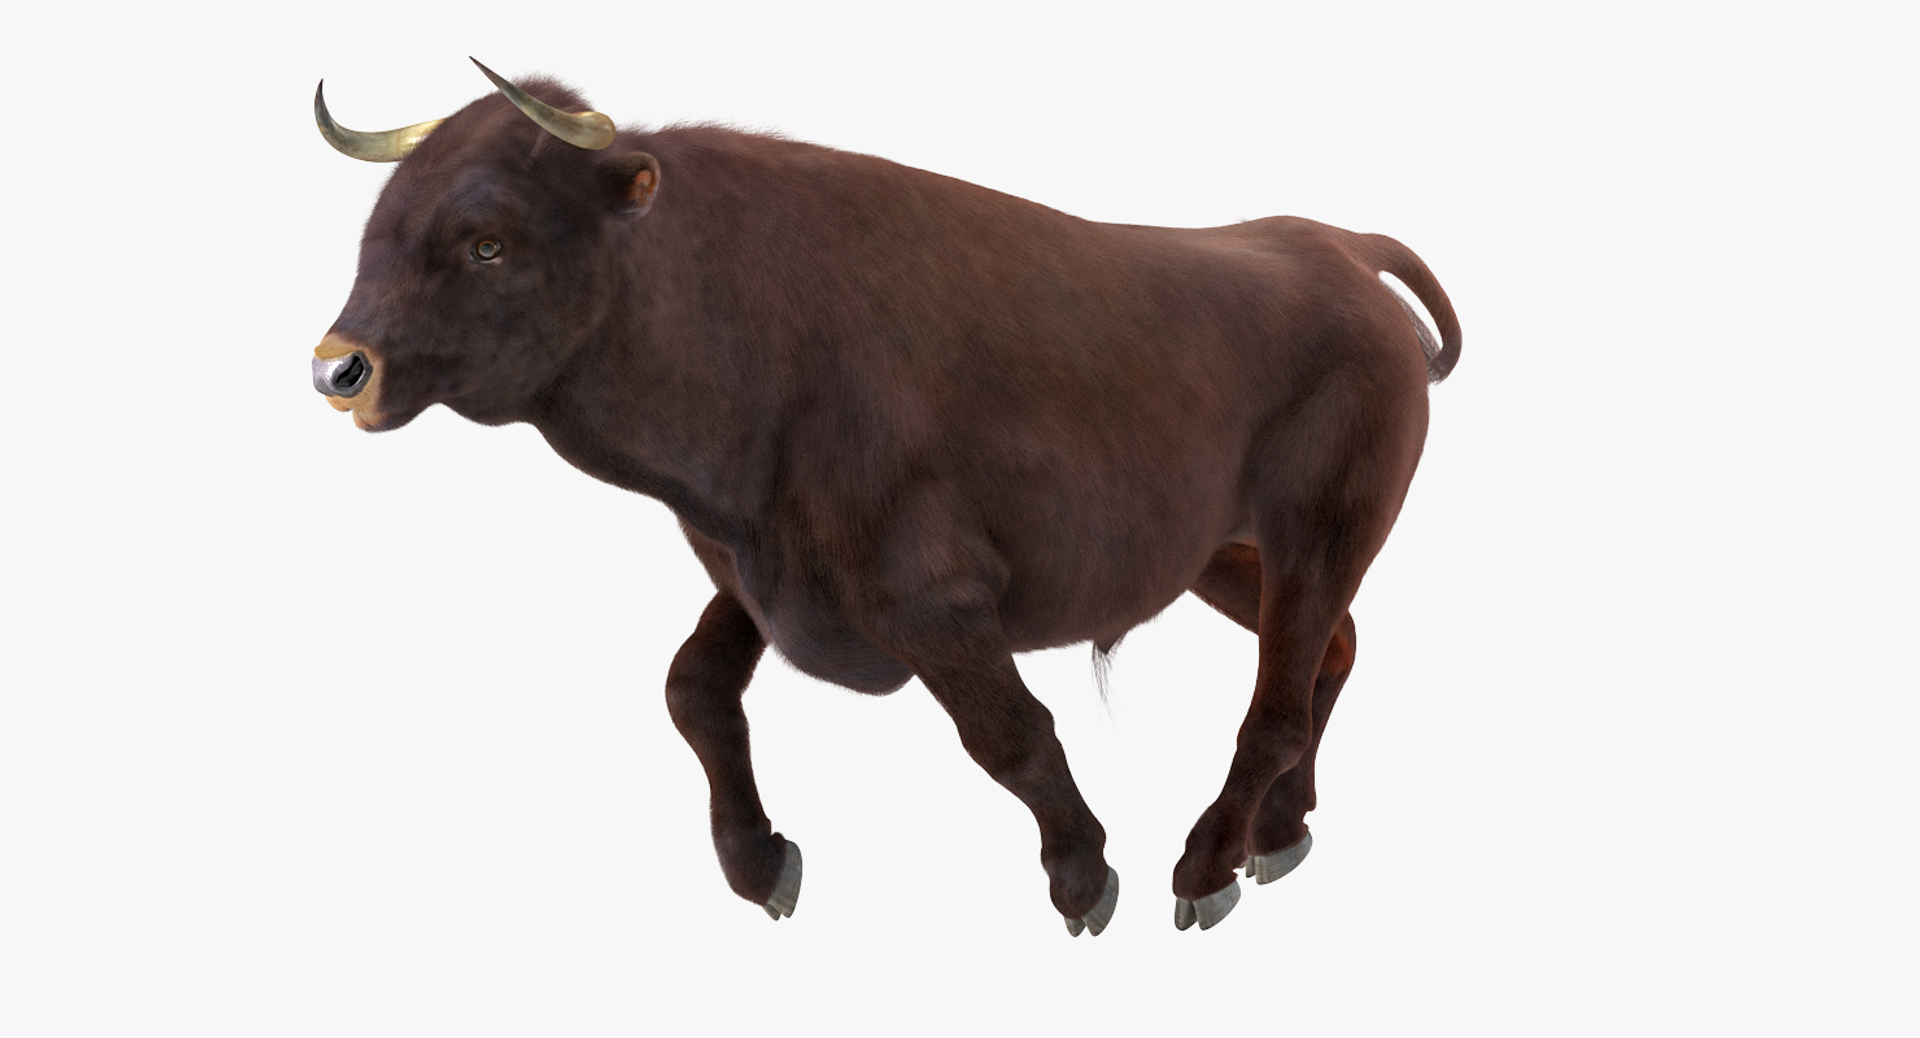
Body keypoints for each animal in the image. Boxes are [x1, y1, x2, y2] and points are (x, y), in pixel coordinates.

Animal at [310, 59, 1461, 936]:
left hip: (1320, 535)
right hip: (1232, 554)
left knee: (1276, 703)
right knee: (1331, 653)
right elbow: (693, 687)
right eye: (382, 222)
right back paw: (1281, 834)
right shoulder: (764, 569)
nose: (340, 368)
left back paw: (1207, 870)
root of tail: (1341, 247)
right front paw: (764, 867)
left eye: (488, 240)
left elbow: (1011, 734)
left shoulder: (932, 603)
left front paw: (1086, 882)